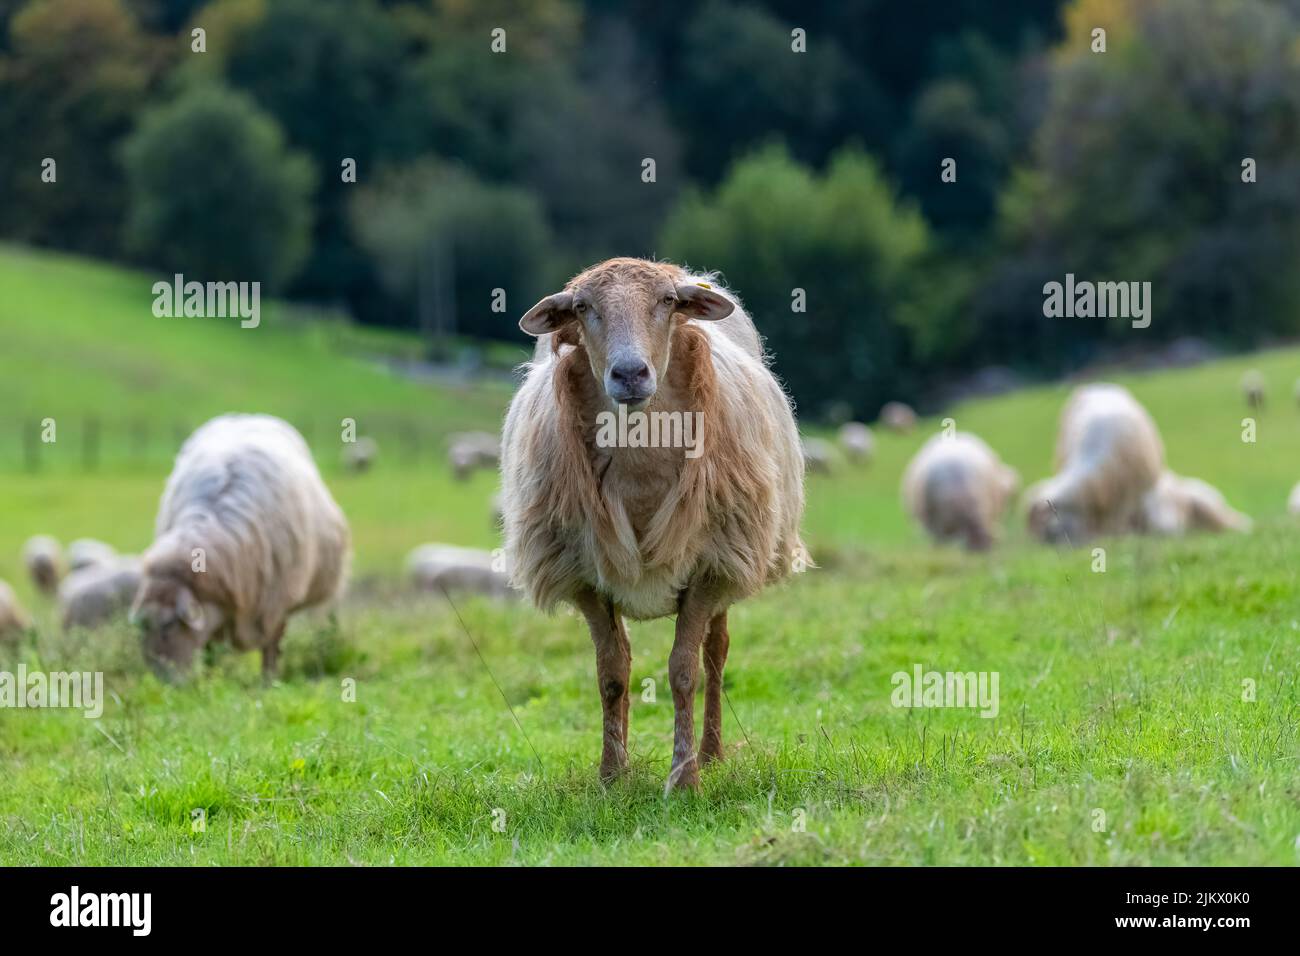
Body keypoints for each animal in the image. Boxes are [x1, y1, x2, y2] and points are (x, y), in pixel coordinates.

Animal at [130, 414, 351, 680]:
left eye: (169, 625)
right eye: (142, 629)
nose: (162, 680)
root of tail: (248, 417)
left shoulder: (275, 602)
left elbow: (271, 645)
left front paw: (269, 681)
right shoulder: (215, 604)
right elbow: (210, 646)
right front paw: (211, 678)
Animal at [502, 258, 805, 790]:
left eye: (667, 301)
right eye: (582, 307)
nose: (629, 373)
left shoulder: (709, 568)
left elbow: (684, 671)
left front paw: (684, 777)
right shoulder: (586, 578)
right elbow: (611, 673)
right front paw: (610, 775)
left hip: (733, 555)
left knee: (716, 653)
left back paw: (711, 753)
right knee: (624, 657)